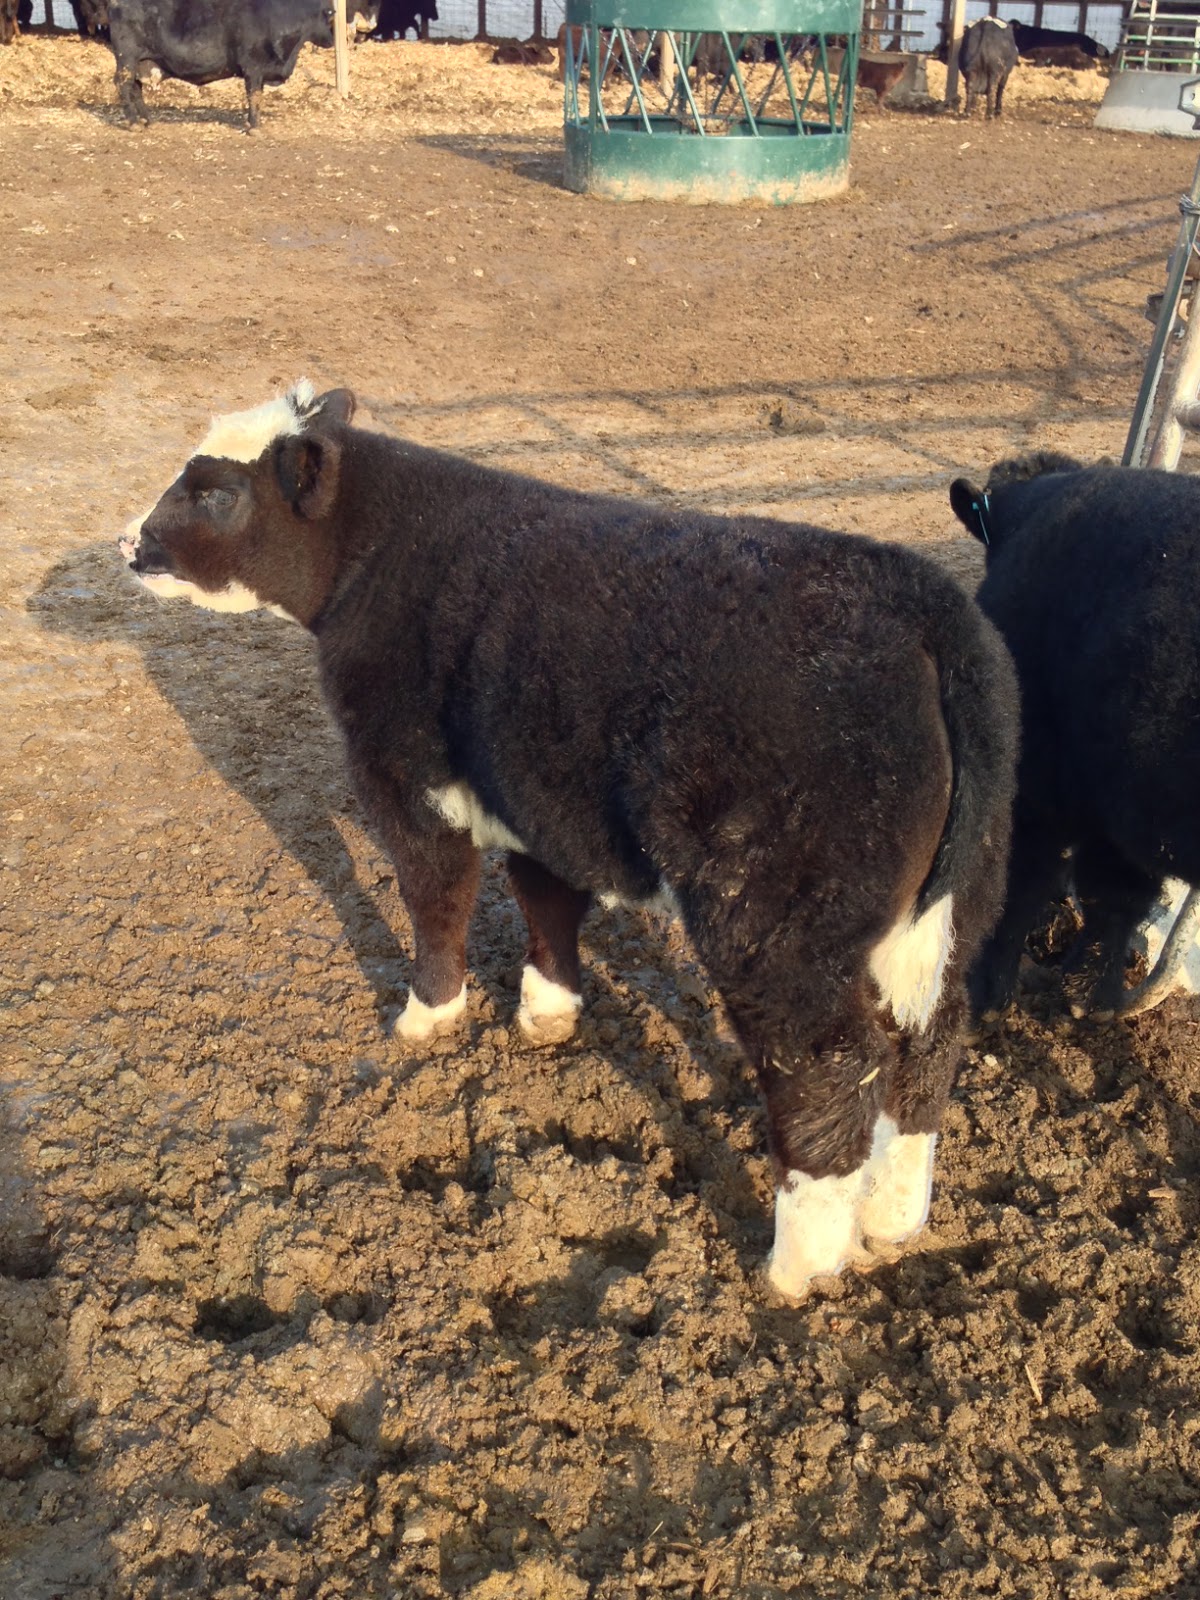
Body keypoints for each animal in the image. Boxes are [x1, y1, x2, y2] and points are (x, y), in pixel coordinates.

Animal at [106, 0, 334, 129]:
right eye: (330, 15)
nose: (333, 40)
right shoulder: (254, 68)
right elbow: (254, 95)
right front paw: (254, 126)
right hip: (127, 58)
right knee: (123, 84)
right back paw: (134, 123)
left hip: (138, 62)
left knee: (135, 87)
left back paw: (148, 121)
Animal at [118, 381, 1018, 1303]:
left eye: (214, 492)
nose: (128, 543)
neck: (387, 551)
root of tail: (922, 608)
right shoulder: (536, 798)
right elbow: (545, 900)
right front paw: (547, 1011)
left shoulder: (408, 784)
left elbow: (436, 901)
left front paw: (425, 1018)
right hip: (953, 906)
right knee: (930, 1040)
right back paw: (893, 1222)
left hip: (777, 928)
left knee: (830, 1066)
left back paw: (797, 1267)